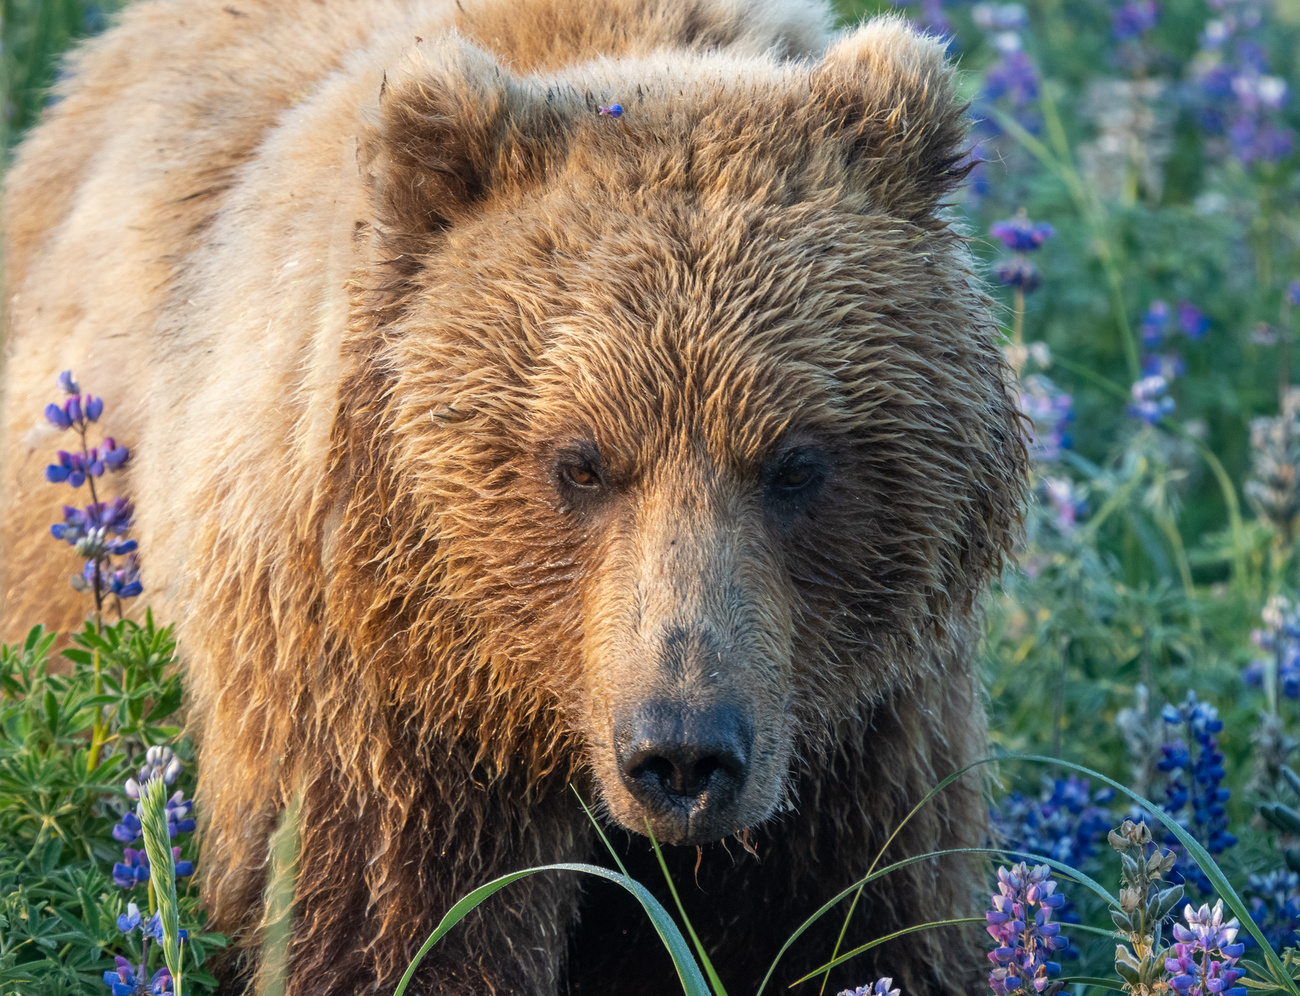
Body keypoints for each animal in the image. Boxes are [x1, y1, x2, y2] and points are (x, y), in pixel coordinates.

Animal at [0, 0, 1028, 993]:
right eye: (581, 462)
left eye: (795, 462)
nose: (683, 751)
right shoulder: (381, 705)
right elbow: (398, 936)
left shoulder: (867, 728)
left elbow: (861, 928)